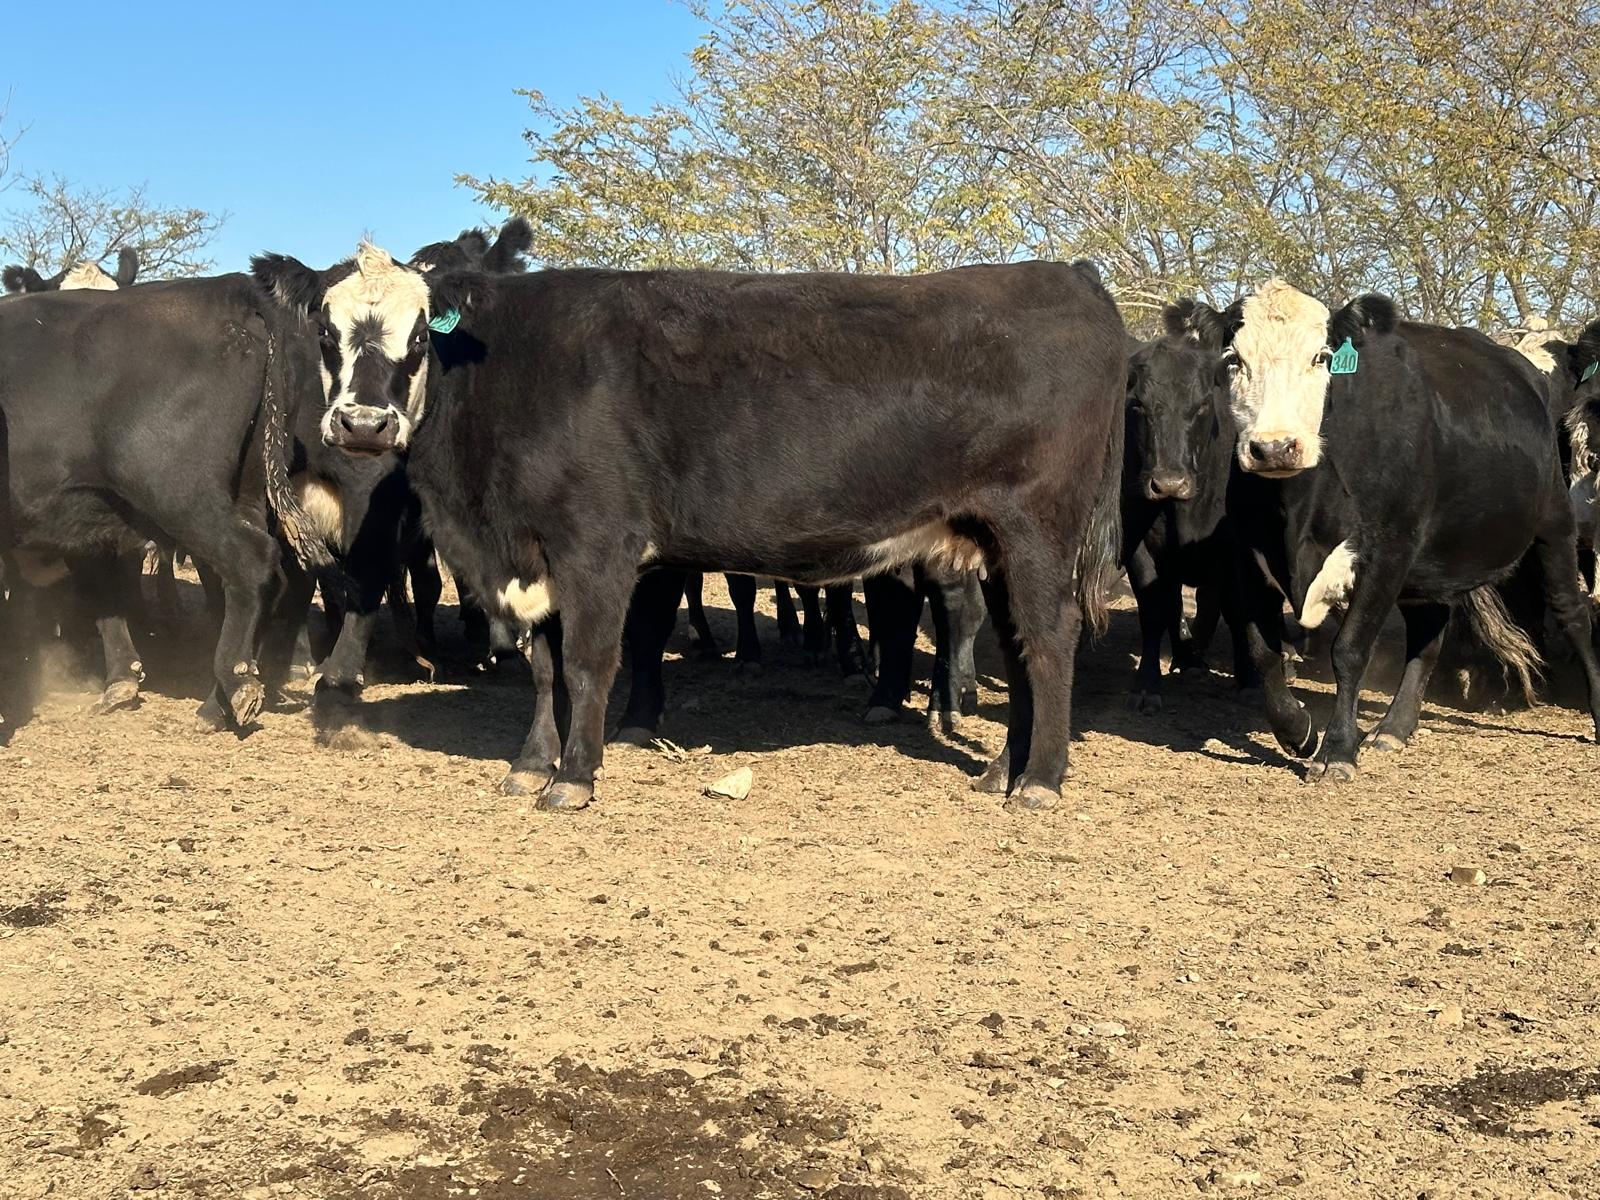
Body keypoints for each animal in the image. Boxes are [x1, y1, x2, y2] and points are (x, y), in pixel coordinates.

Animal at [253, 246, 1126, 813]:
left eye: (417, 338)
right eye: (326, 334)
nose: (364, 425)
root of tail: (1064, 273)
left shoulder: (596, 547)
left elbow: (586, 664)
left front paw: (575, 777)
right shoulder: (532, 556)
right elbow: (541, 668)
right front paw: (531, 764)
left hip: (1038, 529)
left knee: (1050, 642)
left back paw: (1040, 782)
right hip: (996, 539)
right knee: (1019, 645)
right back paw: (1004, 771)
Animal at [1122, 306, 1259, 712]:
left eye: (1201, 406)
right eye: (1139, 405)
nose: (1169, 483)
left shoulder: (1234, 550)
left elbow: (1236, 609)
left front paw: (1249, 681)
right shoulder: (1139, 546)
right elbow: (1155, 609)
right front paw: (1146, 684)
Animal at [1180, 280, 1600, 781]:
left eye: (1322, 357)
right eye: (1233, 360)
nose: (1276, 447)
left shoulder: (1387, 554)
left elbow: (1349, 651)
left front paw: (1337, 751)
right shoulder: (1248, 555)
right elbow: (1263, 651)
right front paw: (1297, 730)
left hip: (1555, 527)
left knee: (1573, 614)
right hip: (1431, 568)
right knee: (1428, 634)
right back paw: (1395, 727)